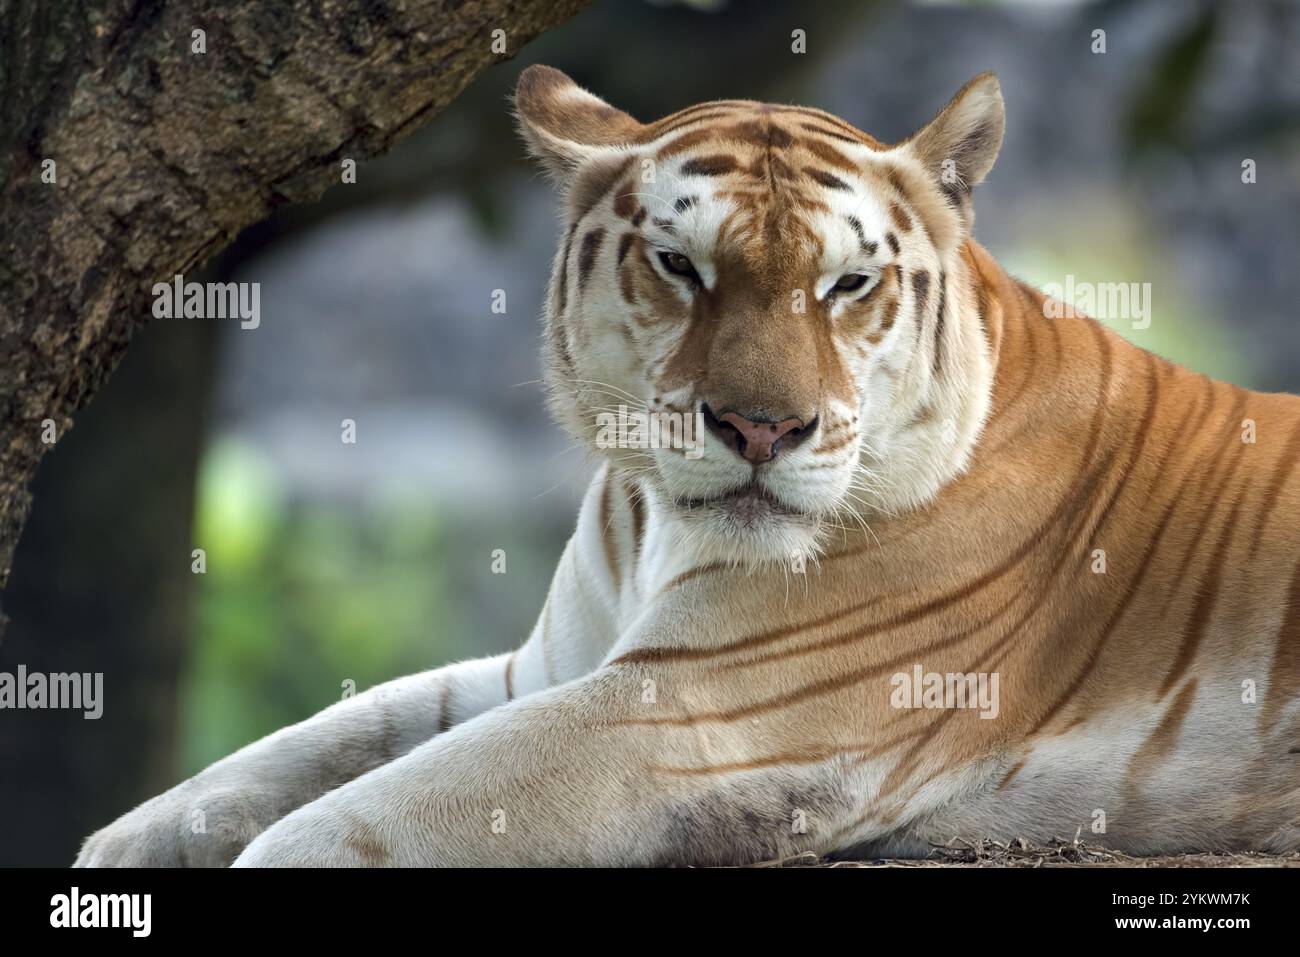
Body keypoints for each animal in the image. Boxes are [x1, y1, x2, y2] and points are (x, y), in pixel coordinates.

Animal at [76, 65, 1300, 867]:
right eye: (680, 265)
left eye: (848, 285)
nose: (763, 430)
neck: (653, 520)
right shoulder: (549, 666)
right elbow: (304, 747)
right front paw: (120, 848)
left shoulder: (692, 708)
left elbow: (355, 817)